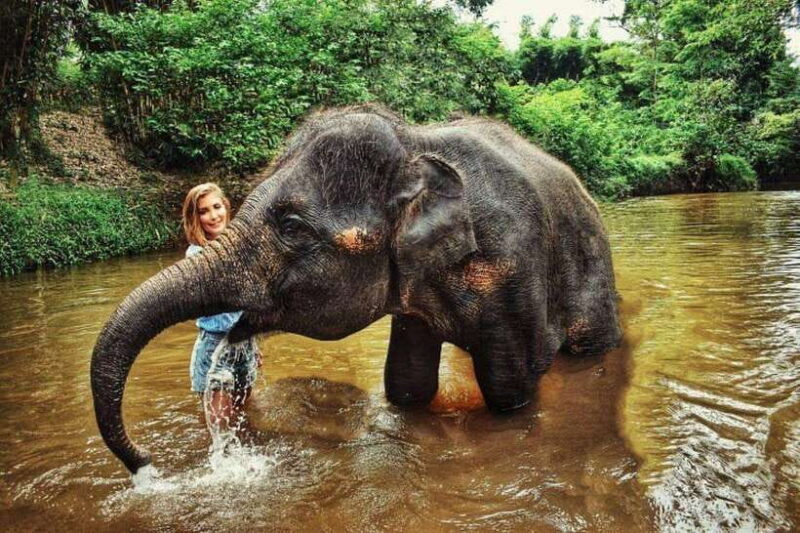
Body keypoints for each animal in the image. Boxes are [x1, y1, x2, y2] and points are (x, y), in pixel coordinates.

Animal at [91, 104, 621, 473]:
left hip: (592, 269)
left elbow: (509, 389)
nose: (146, 462)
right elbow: (405, 383)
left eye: (292, 227)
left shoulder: (512, 267)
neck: (415, 143)